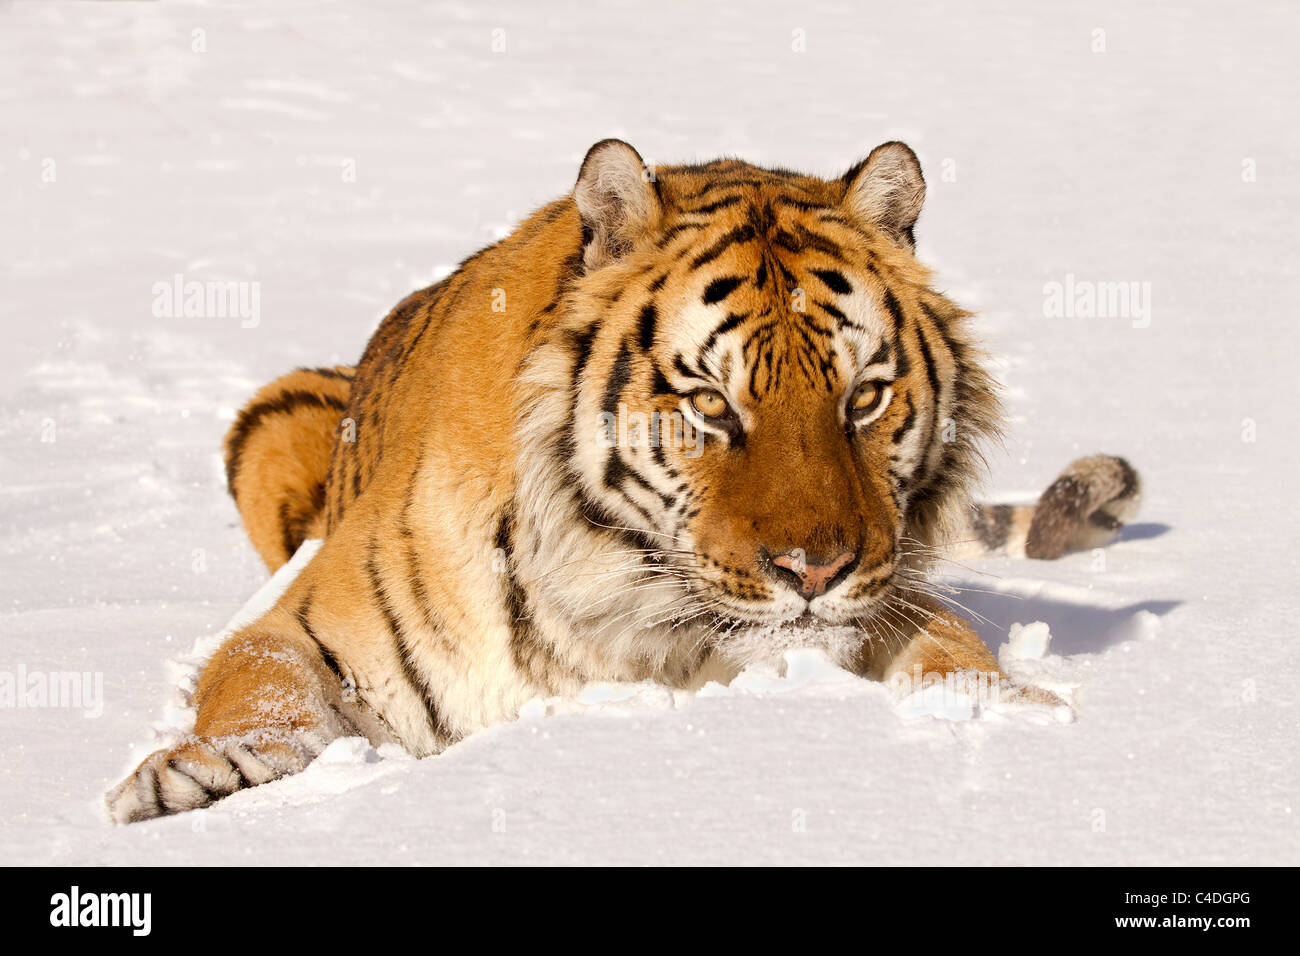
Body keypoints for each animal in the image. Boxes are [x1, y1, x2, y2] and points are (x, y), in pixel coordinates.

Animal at [106, 139, 1141, 823]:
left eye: (866, 397)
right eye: (712, 404)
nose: (814, 571)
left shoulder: (894, 601)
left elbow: (955, 650)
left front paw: (1010, 715)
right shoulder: (304, 621)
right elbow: (259, 686)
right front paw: (202, 775)